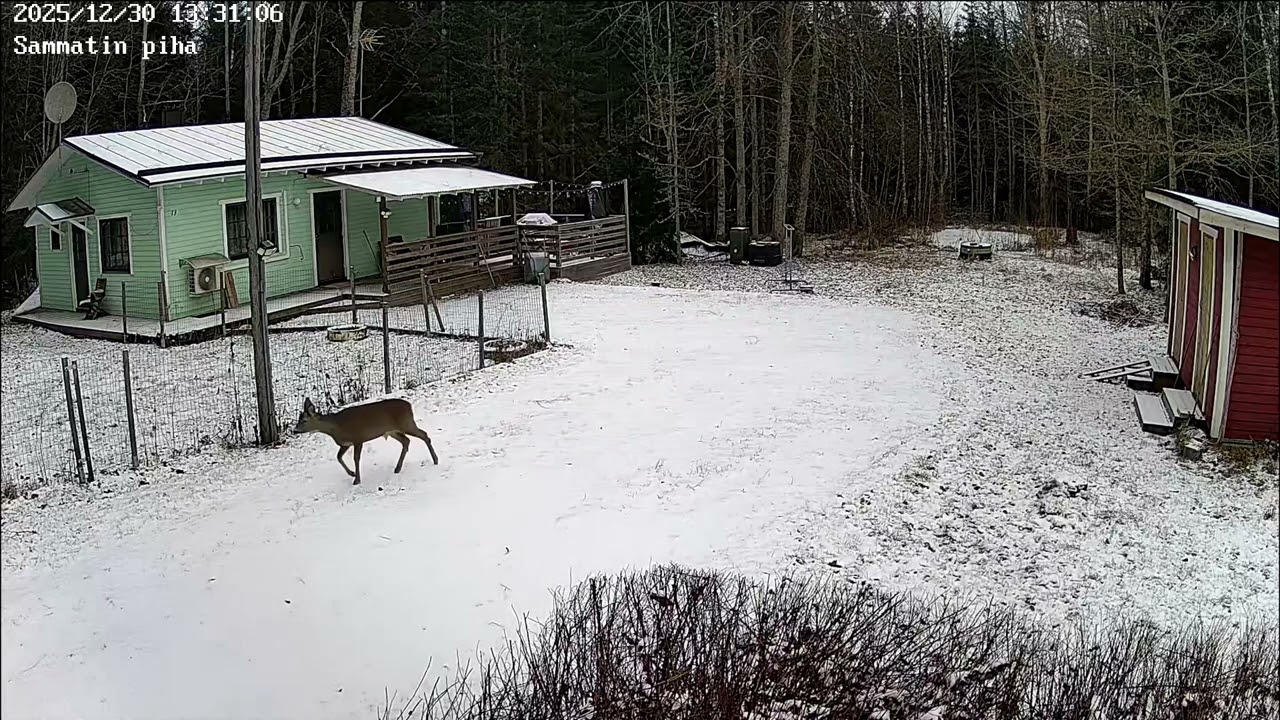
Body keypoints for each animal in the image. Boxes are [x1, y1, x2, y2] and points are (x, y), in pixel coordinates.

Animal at [293, 397, 439, 485]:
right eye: (298, 419)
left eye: (304, 420)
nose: (294, 430)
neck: (336, 427)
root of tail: (409, 405)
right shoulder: (346, 443)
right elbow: (338, 457)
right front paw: (352, 473)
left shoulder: (358, 438)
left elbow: (356, 458)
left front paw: (357, 479)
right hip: (392, 431)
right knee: (406, 441)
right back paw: (397, 468)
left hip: (406, 423)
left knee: (424, 435)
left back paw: (435, 460)